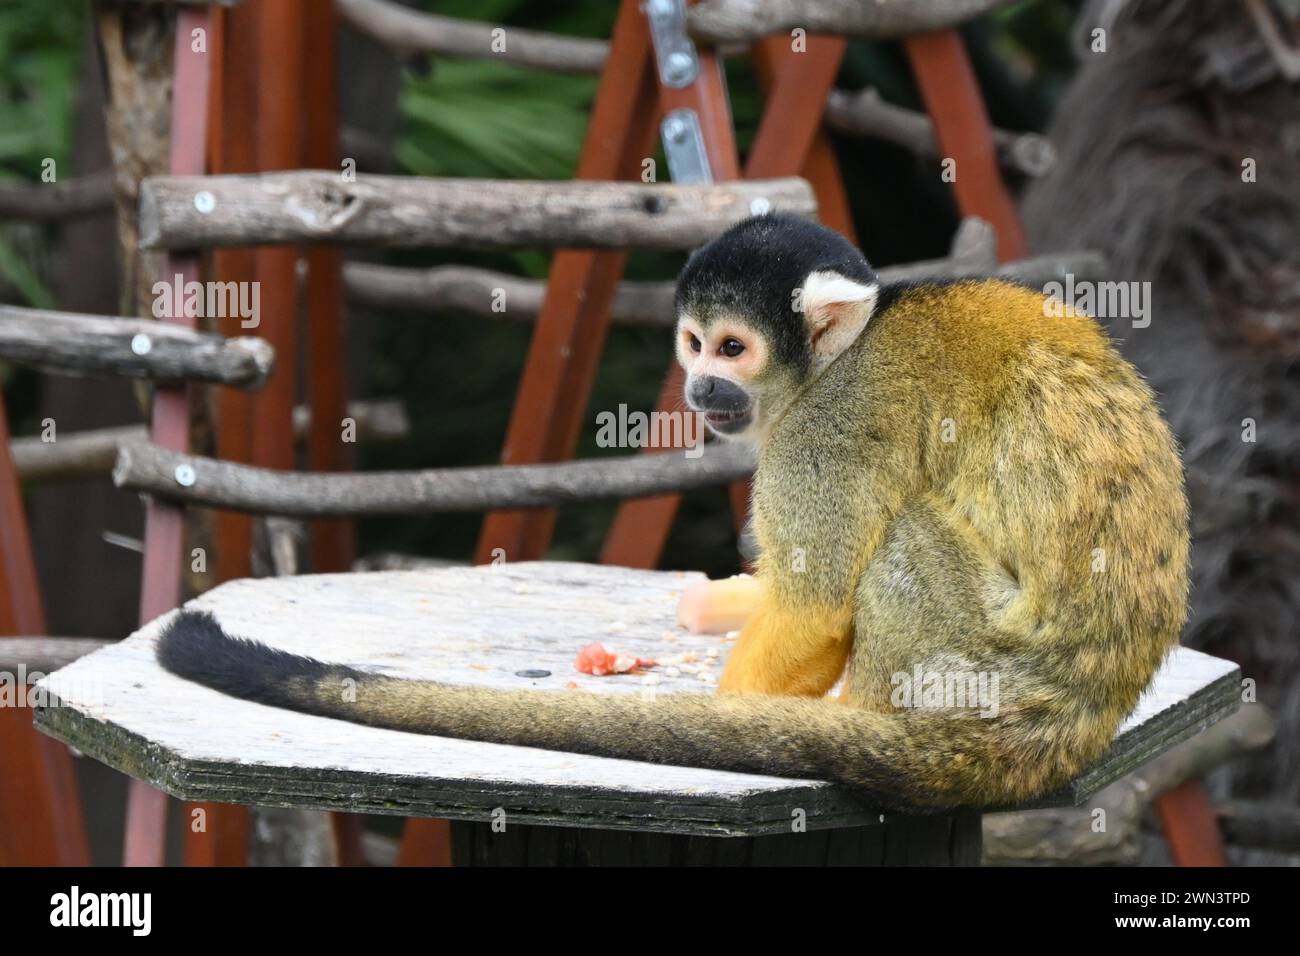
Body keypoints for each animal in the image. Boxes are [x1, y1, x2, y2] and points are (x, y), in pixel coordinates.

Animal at [157, 214, 1189, 810]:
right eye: (693, 342)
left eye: (733, 349)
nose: (699, 387)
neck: (835, 358)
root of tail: (1077, 716)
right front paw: (716, 601)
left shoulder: (830, 427)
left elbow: (817, 604)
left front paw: (734, 716)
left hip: (986, 671)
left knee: (904, 549)